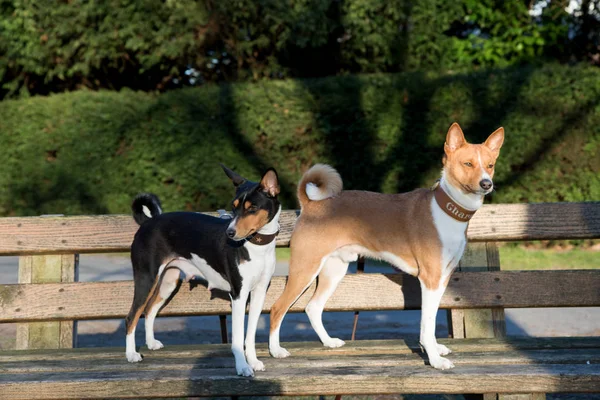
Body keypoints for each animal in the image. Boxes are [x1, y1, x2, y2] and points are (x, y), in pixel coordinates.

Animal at [123, 164, 282, 376]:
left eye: (252, 208)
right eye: (234, 207)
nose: (229, 233)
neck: (256, 246)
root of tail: (148, 222)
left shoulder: (259, 293)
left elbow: (250, 335)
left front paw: (253, 362)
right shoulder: (238, 295)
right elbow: (238, 338)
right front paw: (242, 367)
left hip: (168, 282)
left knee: (149, 310)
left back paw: (150, 344)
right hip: (146, 279)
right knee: (132, 316)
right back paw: (131, 355)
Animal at [270, 123, 504, 370]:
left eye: (490, 165)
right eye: (468, 164)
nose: (486, 184)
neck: (447, 210)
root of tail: (311, 206)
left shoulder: (442, 279)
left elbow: (430, 321)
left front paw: (433, 349)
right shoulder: (430, 279)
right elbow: (427, 324)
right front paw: (434, 359)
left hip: (334, 271)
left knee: (312, 307)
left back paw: (328, 342)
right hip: (305, 269)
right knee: (278, 308)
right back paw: (276, 351)